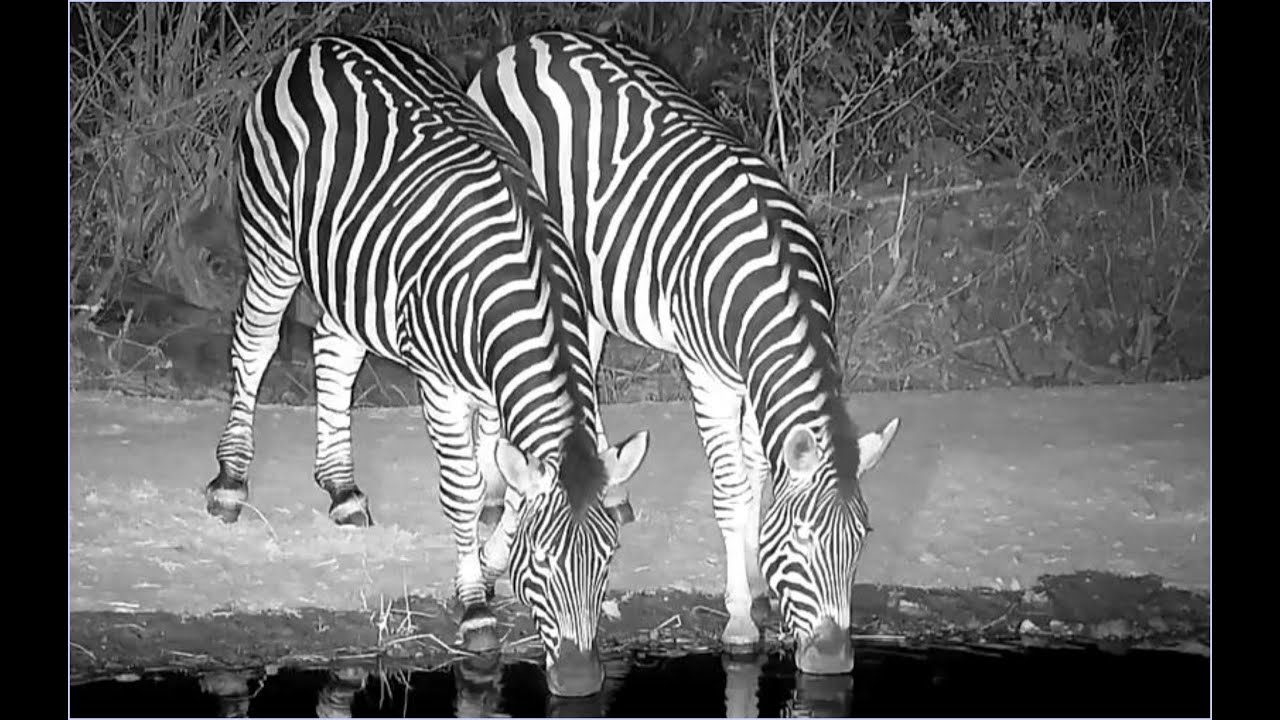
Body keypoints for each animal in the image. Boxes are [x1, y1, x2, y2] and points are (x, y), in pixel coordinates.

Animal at [203, 35, 649, 697]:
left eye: (608, 558)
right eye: (543, 562)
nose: (576, 682)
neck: (524, 288)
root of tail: (324, 42)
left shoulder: (494, 386)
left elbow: (503, 486)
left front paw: (490, 561)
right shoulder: (441, 384)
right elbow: (465, 490)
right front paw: (476, 606)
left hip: (348, 272)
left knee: (335, 352)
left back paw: (343, 490)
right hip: (272, 241)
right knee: (254, 346)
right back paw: (231, 482)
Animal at [467, 31, 900, 675]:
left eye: (863, 537)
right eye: (802, 539)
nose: (831, 661)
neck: (773, 284)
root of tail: (537, 39)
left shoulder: (757, 379)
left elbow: (757, 475)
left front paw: (757, 578)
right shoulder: (710, 376)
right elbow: (731, 491)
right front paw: (742, 618)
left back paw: (610, 488)